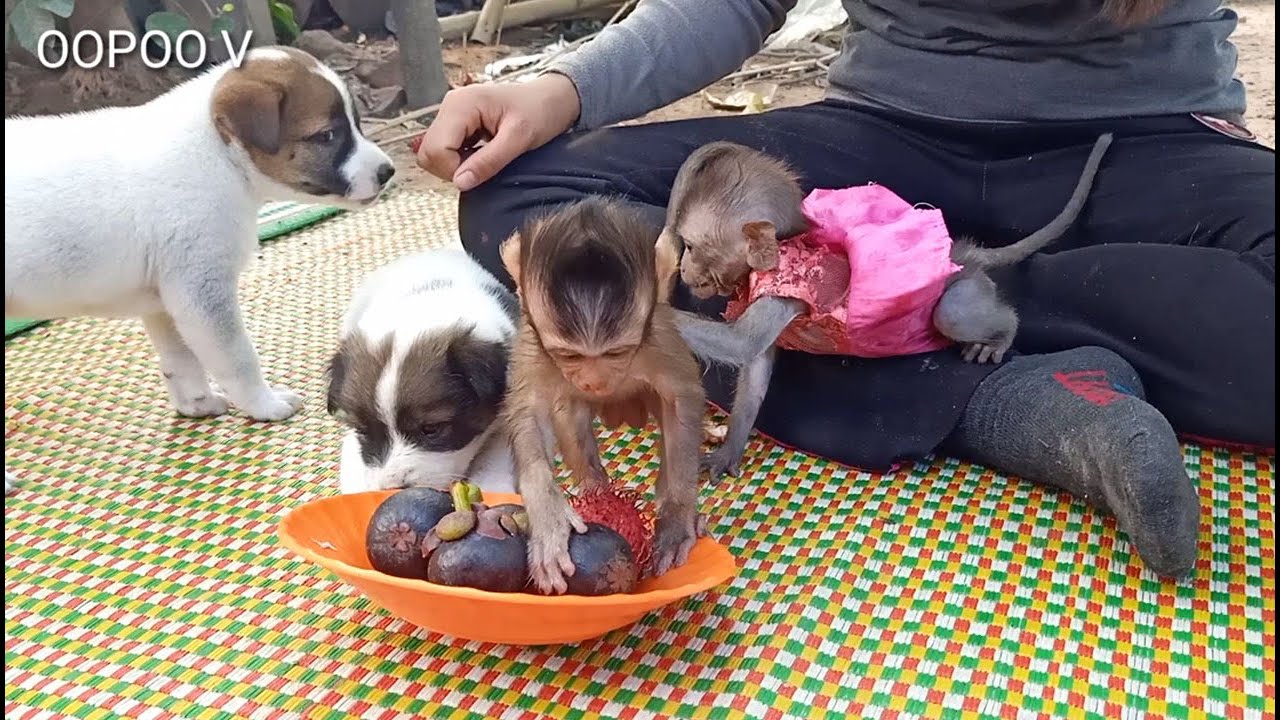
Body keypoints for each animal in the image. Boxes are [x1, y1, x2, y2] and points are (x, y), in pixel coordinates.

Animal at [499, 197, 709, 595]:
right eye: (570, 355)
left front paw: (676, 516)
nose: (595, 383)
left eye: (615, 353)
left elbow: (681, 400)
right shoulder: (534, 346)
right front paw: (548, 515)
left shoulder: (656, 341)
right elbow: (529, 413)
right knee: (569, 414)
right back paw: (596, 488)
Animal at [663, 134, 1114, 481]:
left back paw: (1002, 333)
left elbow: (741, 343)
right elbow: (755, 368)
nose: (683, 268)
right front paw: (729, 451)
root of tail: (962, 255)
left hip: (965, 290)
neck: (782, 250)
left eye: (695, 247)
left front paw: (651, 309)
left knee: (955, 314)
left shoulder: (787, 287)